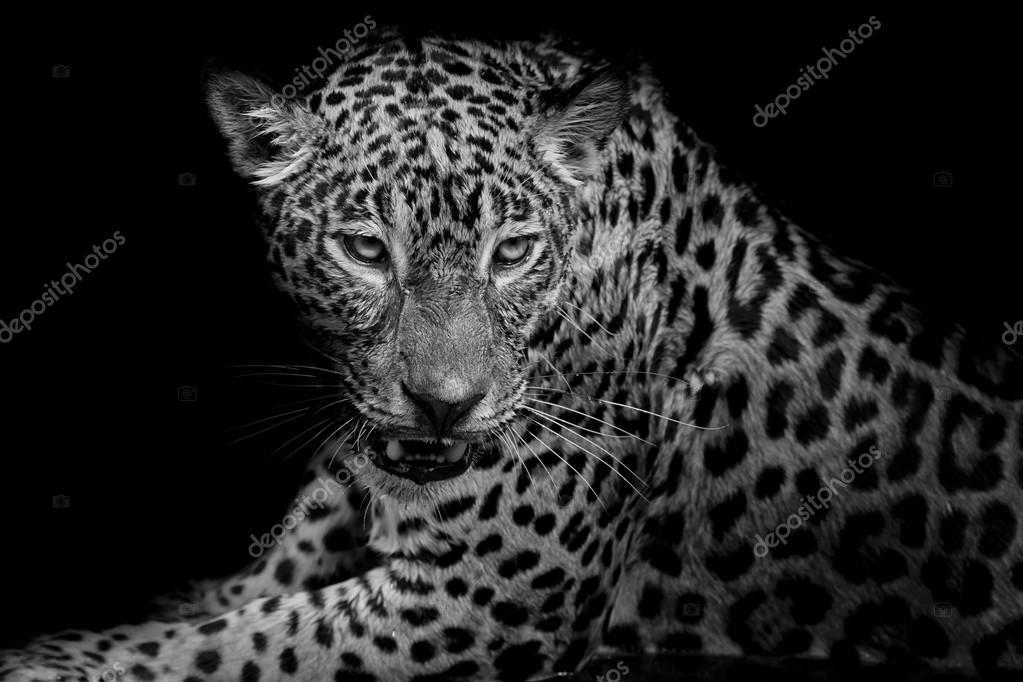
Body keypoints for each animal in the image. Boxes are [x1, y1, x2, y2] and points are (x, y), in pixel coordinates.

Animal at [2, 29, 1021, 682]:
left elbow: (233, 644)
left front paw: (57, 661)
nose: (445, 404)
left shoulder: (493, 596)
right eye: (365, 251)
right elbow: (223, 598)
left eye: (513, 252)